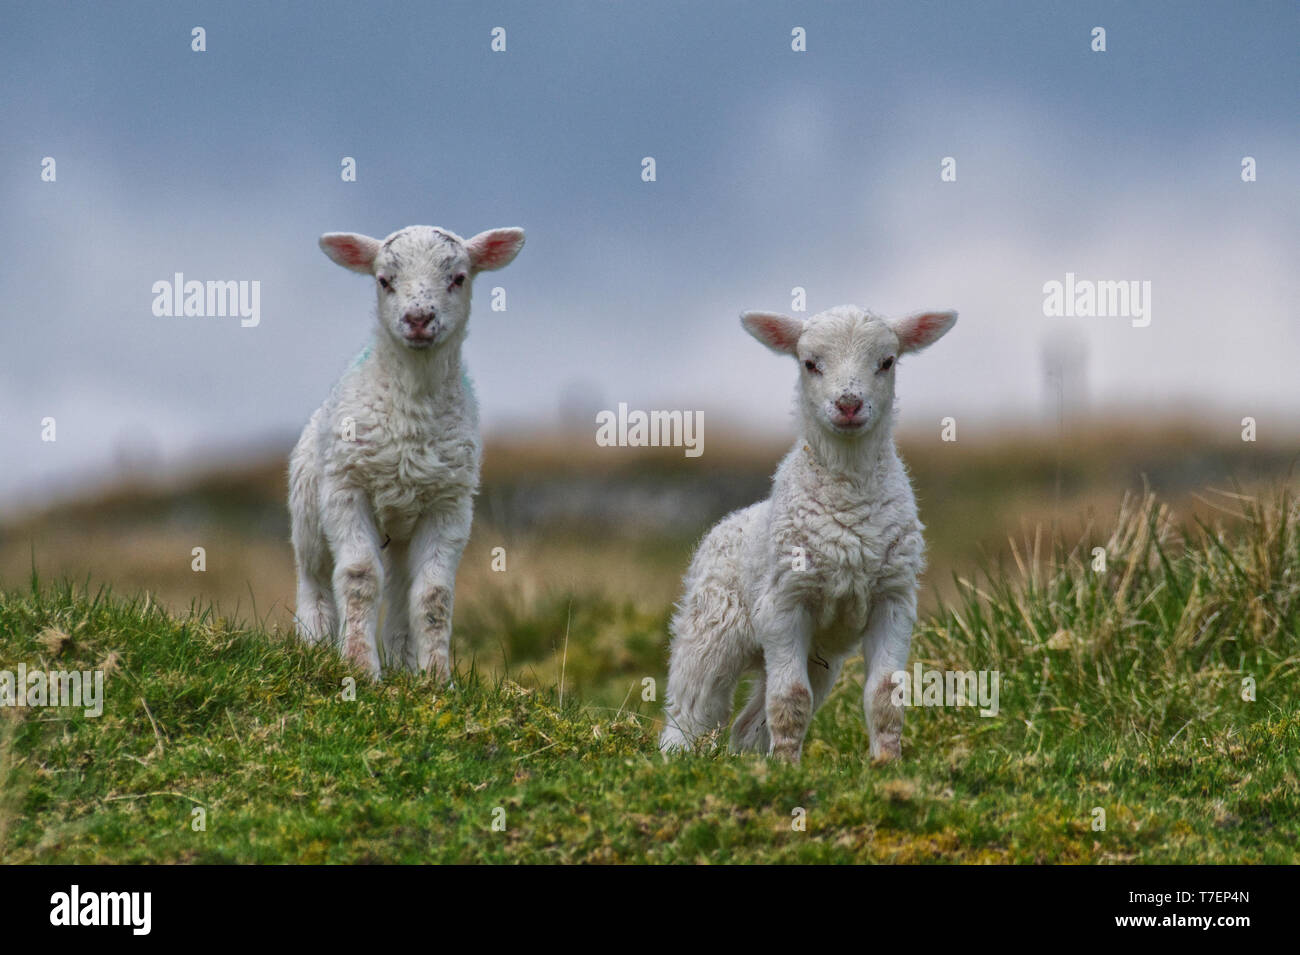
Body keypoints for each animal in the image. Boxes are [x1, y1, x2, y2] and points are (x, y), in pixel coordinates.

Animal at [289, 224, 525, 680]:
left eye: (458, 278)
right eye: (384, 280)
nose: (418, 319)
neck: (412, 408)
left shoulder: (449, 505)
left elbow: (434, 596)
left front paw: (436, 679)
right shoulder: (346, 488)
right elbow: (359, 577)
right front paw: (359, 666)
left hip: (401, 531)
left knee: (400, 590)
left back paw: (403, 663)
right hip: (309, 511)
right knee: (315, 581)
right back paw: (315, 645)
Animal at [659, 304, 957, 763]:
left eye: (887, 362)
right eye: (810, 363)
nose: (849, 403)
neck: (849, 491)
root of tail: (733, 518)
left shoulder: (893, 600)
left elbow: (884, 697)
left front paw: (887, 764)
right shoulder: (785, 601)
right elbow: (790, 700)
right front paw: (787, 768)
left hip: (820, 655)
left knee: (747, 724)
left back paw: (749, 760)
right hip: (712, 626)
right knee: (691, 707)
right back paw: (675, 757)